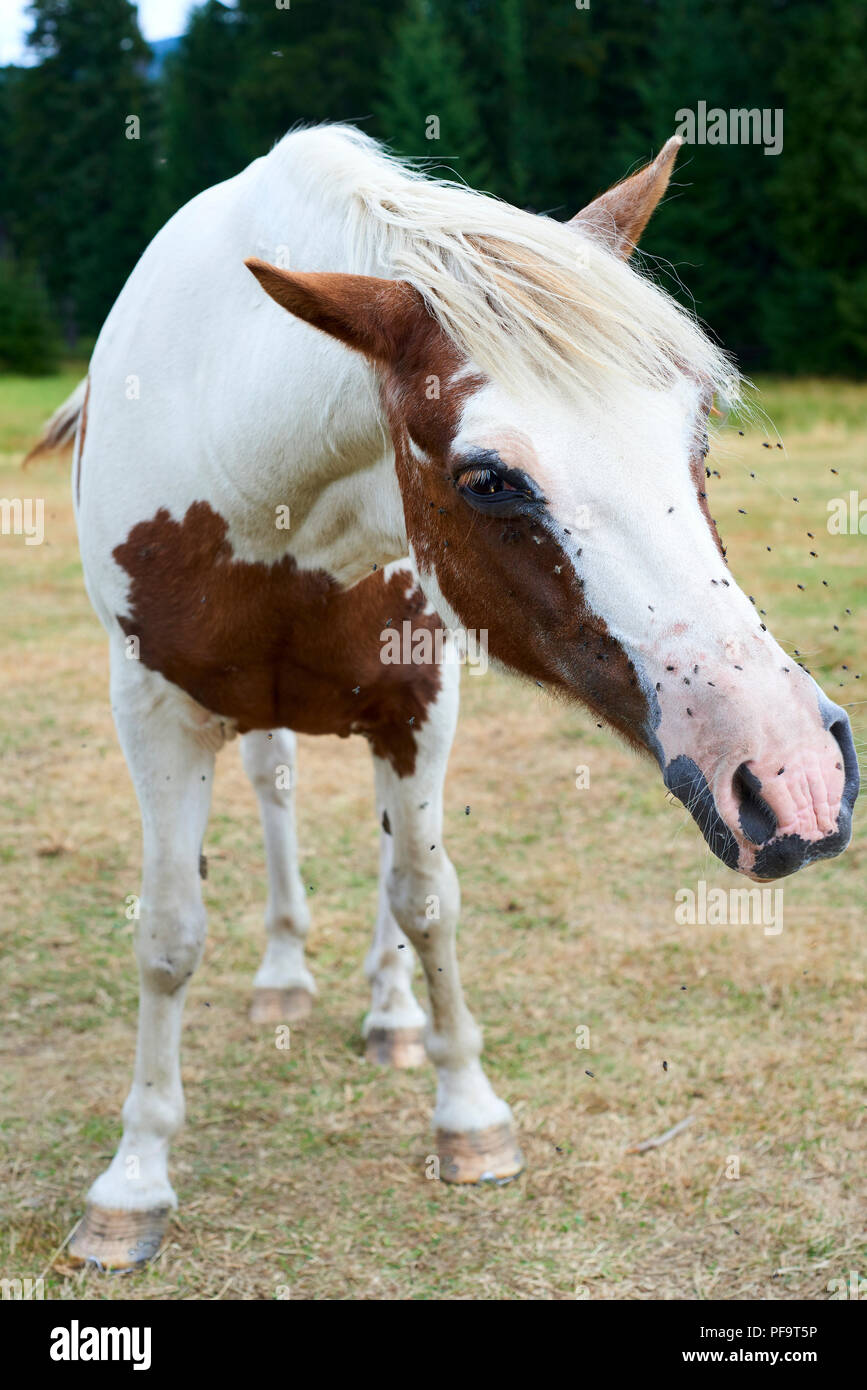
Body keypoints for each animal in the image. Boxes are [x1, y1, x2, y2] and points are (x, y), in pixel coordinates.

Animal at [29, 125, 858, 1271]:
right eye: (487, 480)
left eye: (696, 433)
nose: (793, 777)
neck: (263, 481)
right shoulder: (153, 713)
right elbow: (167, 935)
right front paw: (134, 1180)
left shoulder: (420, 704)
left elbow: (425, 898)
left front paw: (467, 1114)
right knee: (276, 789)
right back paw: (284, 973)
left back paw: (391, 1018)